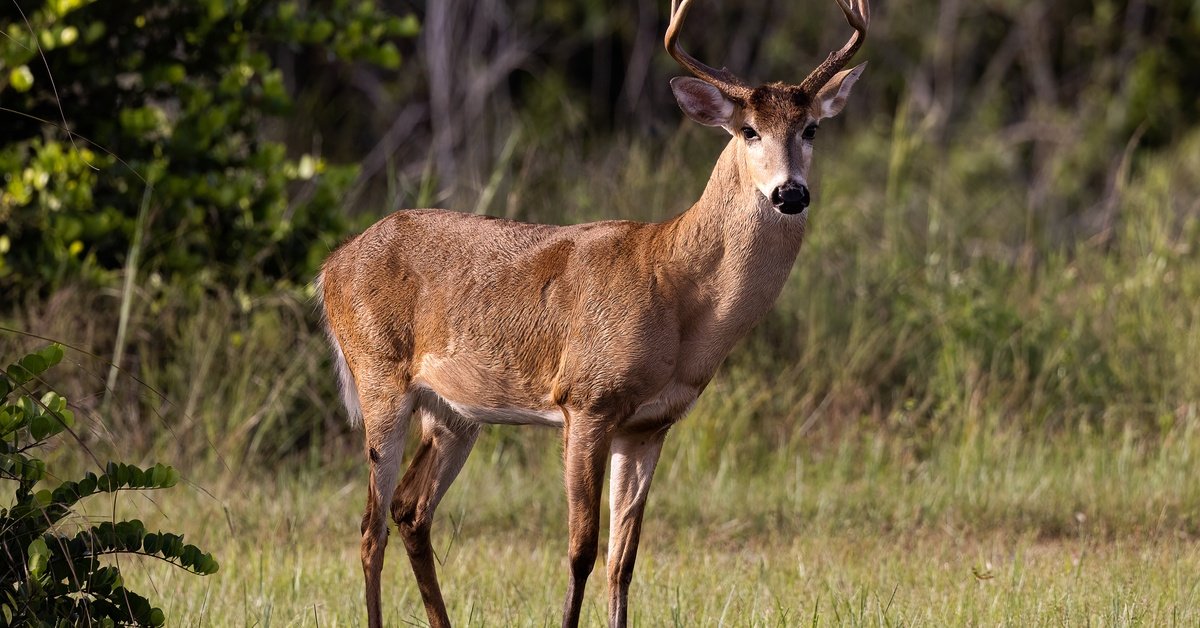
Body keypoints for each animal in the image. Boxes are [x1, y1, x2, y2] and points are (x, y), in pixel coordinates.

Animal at [318, 0, 869, 626]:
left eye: (811, 128)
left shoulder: (648, 425)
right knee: (370, 526)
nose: (790, 193)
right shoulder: (586, 401)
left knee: (410, 510)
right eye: (748, 130)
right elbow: (580, 550)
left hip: (453, 412)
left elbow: (622, 559)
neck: (678, 291)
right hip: (379, 376)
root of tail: (331, 265)